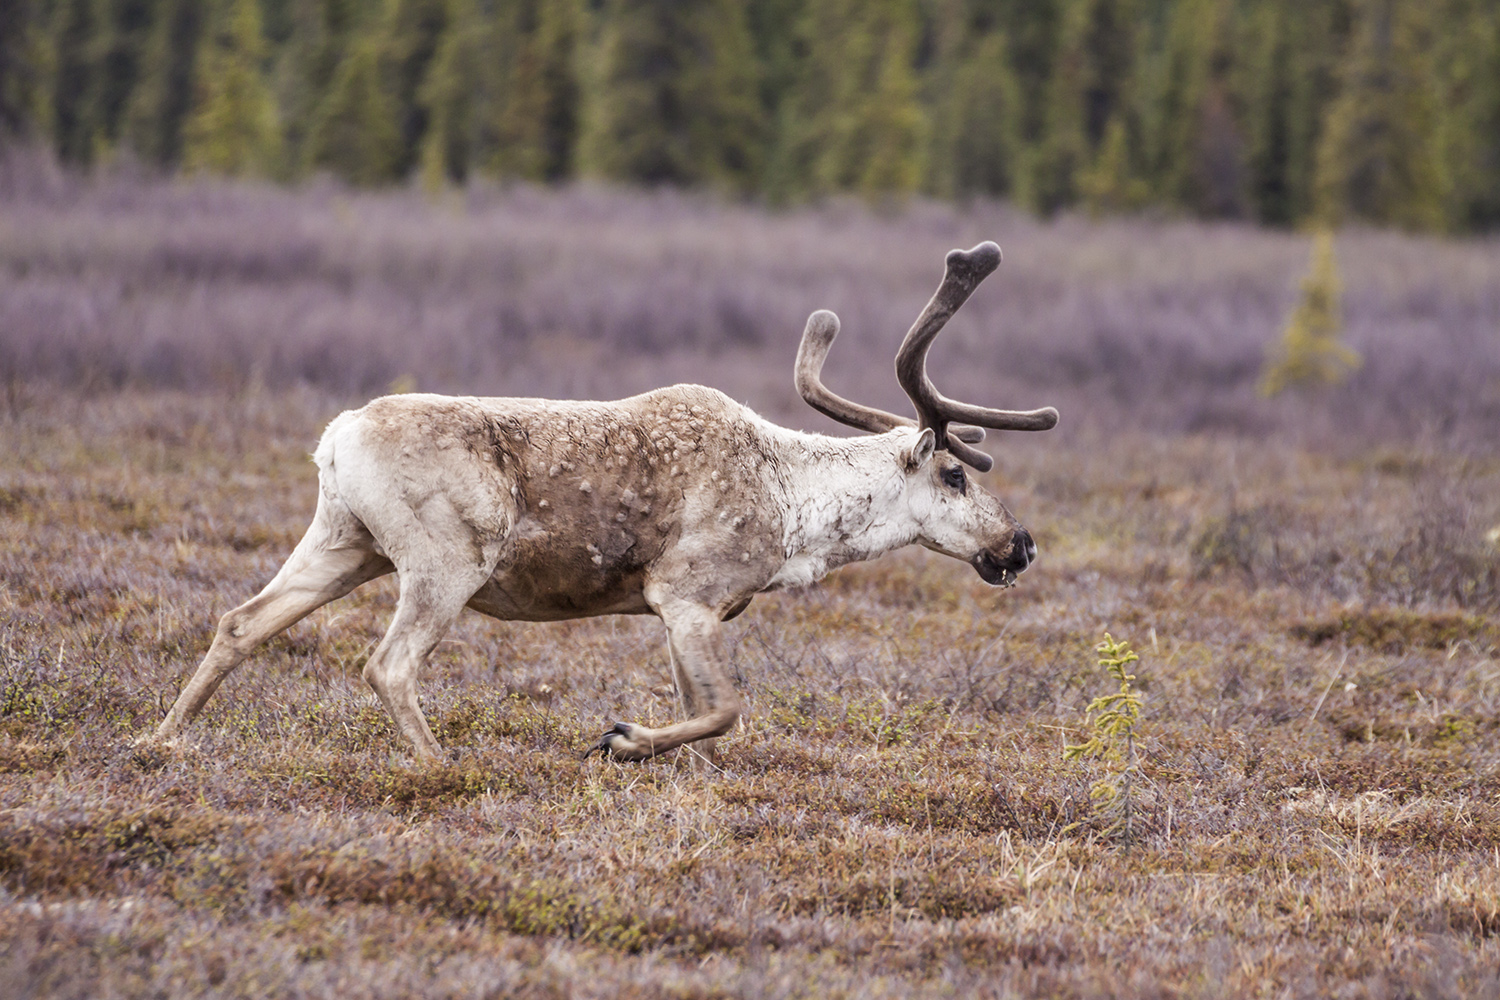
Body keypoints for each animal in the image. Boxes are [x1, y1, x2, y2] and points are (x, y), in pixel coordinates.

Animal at [146, 242, 1057, 765]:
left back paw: (161, 738)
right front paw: (621, 739)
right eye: (956, 476)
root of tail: (335, 437)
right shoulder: (685, 593)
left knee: (240, 622)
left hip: (344, 540)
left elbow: (701, 713)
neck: (793, 505)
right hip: (443, 558)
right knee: (387, 663)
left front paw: (662, 759)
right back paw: (442, 765)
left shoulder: (682, 614)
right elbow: (726, 709)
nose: (1020, 543)